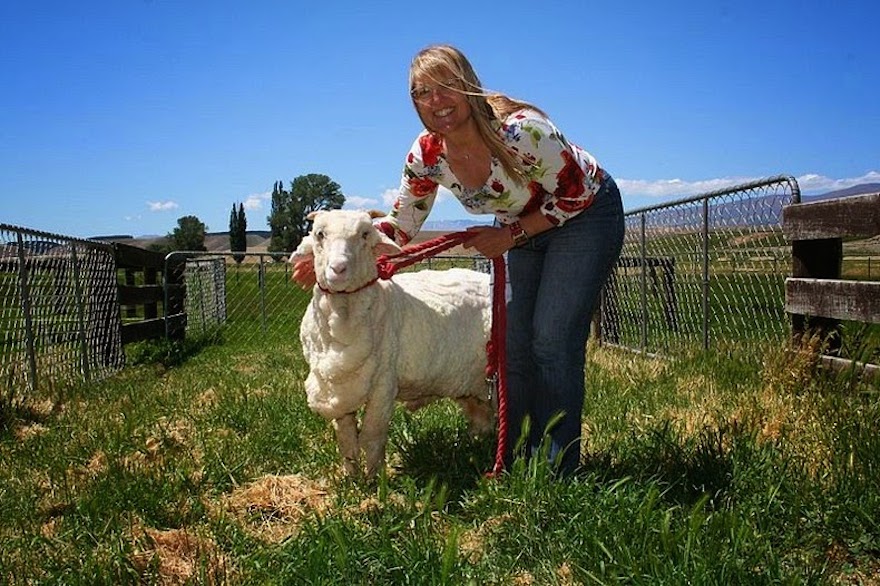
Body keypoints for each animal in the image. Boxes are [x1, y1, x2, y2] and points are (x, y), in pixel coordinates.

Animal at [291, 209, 495, 477]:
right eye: (319, 234)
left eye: (365, 234)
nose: (338, 268)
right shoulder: (339, 389)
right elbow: (347, 441)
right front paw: (350, 478)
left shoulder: (383, 385)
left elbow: (372, 436)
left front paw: (373, 478)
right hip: (469, 381)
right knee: (482, 418)